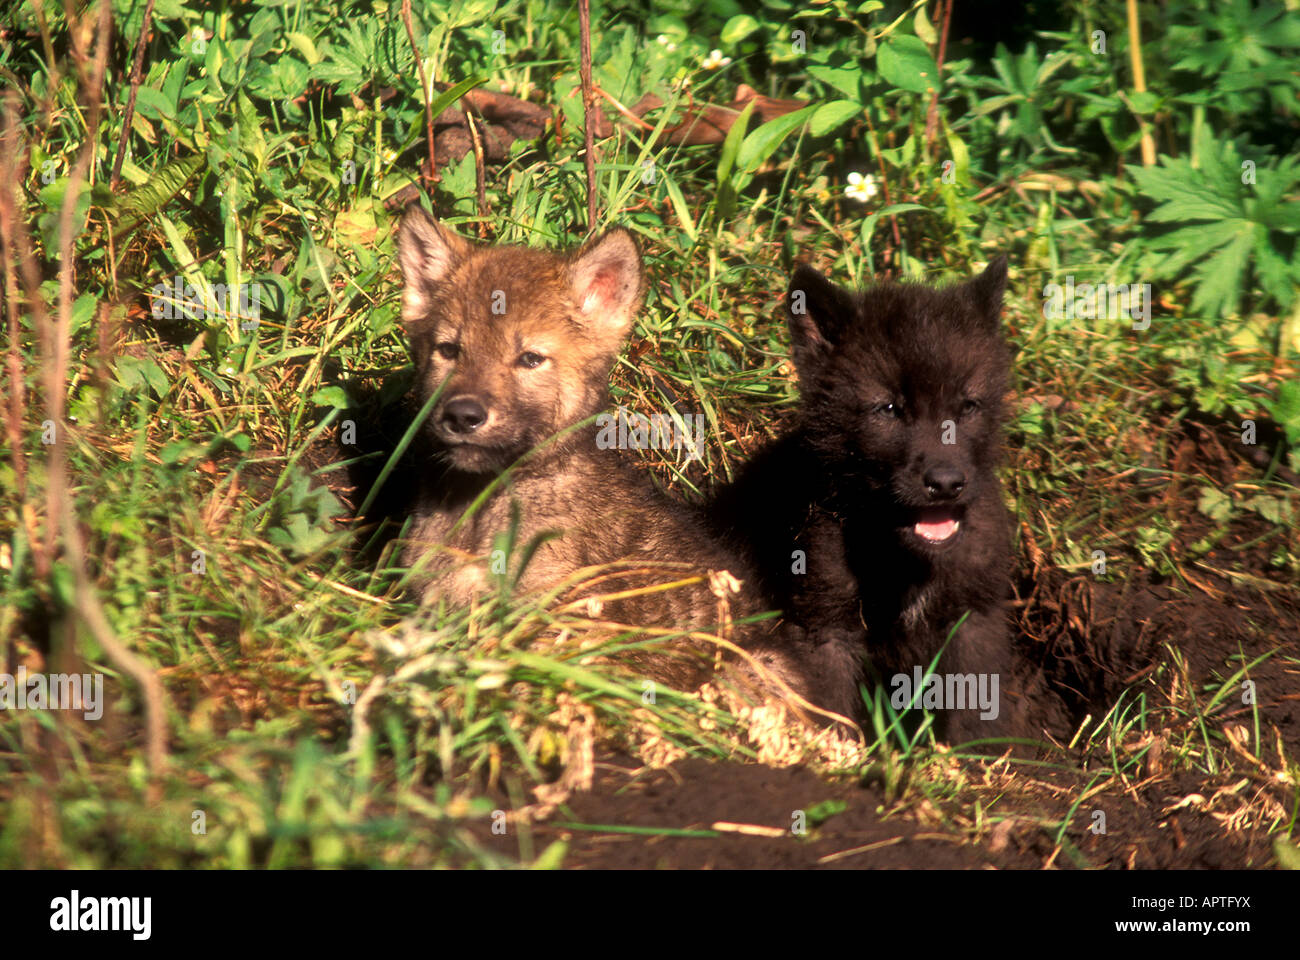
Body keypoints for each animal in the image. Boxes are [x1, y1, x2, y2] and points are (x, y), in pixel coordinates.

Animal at [708, 258, 1015, 742]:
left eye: (967, 406)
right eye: (888, 409)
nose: (946, 483)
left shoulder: (974, 618)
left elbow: (977, 718)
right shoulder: (824, 629)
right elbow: (831, 714)